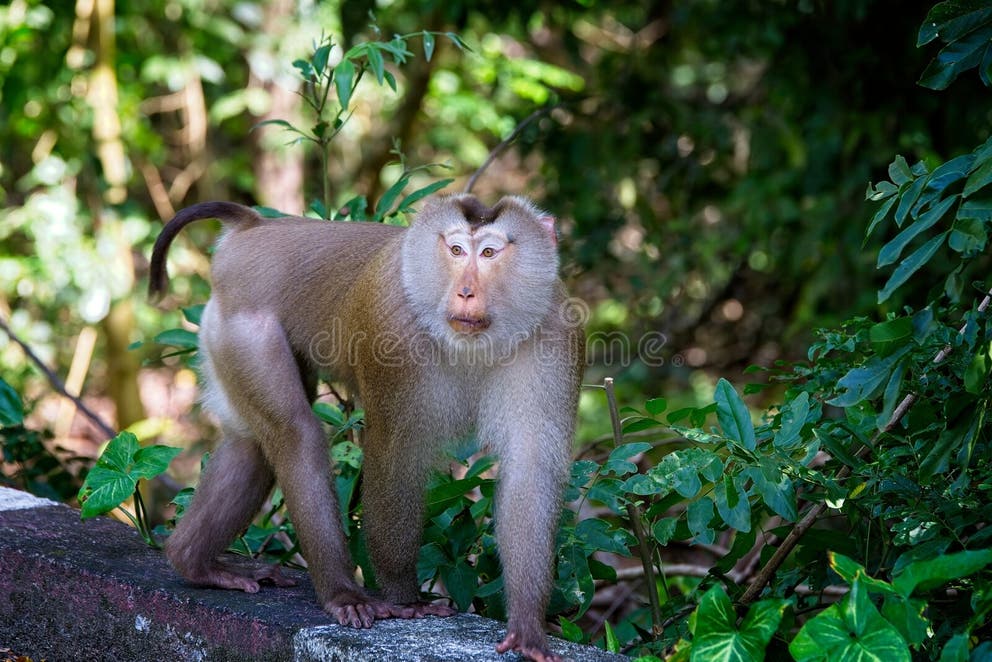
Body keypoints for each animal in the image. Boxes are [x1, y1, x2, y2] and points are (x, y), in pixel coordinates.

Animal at [149, 194, 585, 662]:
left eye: (488, 253)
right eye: (455, 250)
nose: (466, 291)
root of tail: (254, 227)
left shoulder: (555, 335)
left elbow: (530, 470)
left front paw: (527, 627)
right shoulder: (393, 333)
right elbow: (395, 455)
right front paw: (406, 600)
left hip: (222, 332)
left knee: (249, 443)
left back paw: (193, 562)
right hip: (243, 327)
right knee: (295, 434)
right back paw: (342, 593)